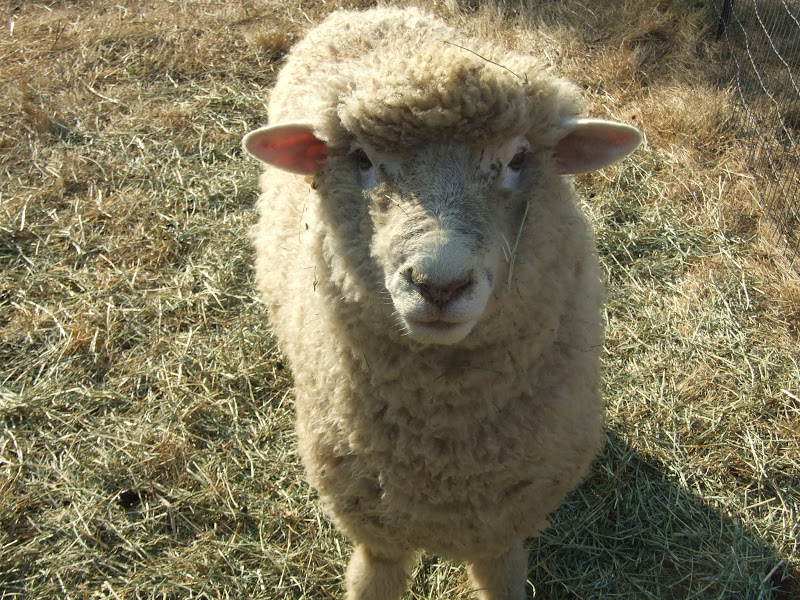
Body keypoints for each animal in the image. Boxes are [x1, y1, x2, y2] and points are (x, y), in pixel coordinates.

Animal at [242, 7, 641, 600]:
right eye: (362, 158)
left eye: (517, 158)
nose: (439, 284)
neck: (443, 449)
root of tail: (370, 11)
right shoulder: (377, 534)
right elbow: (374, 578)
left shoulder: (502, 527)